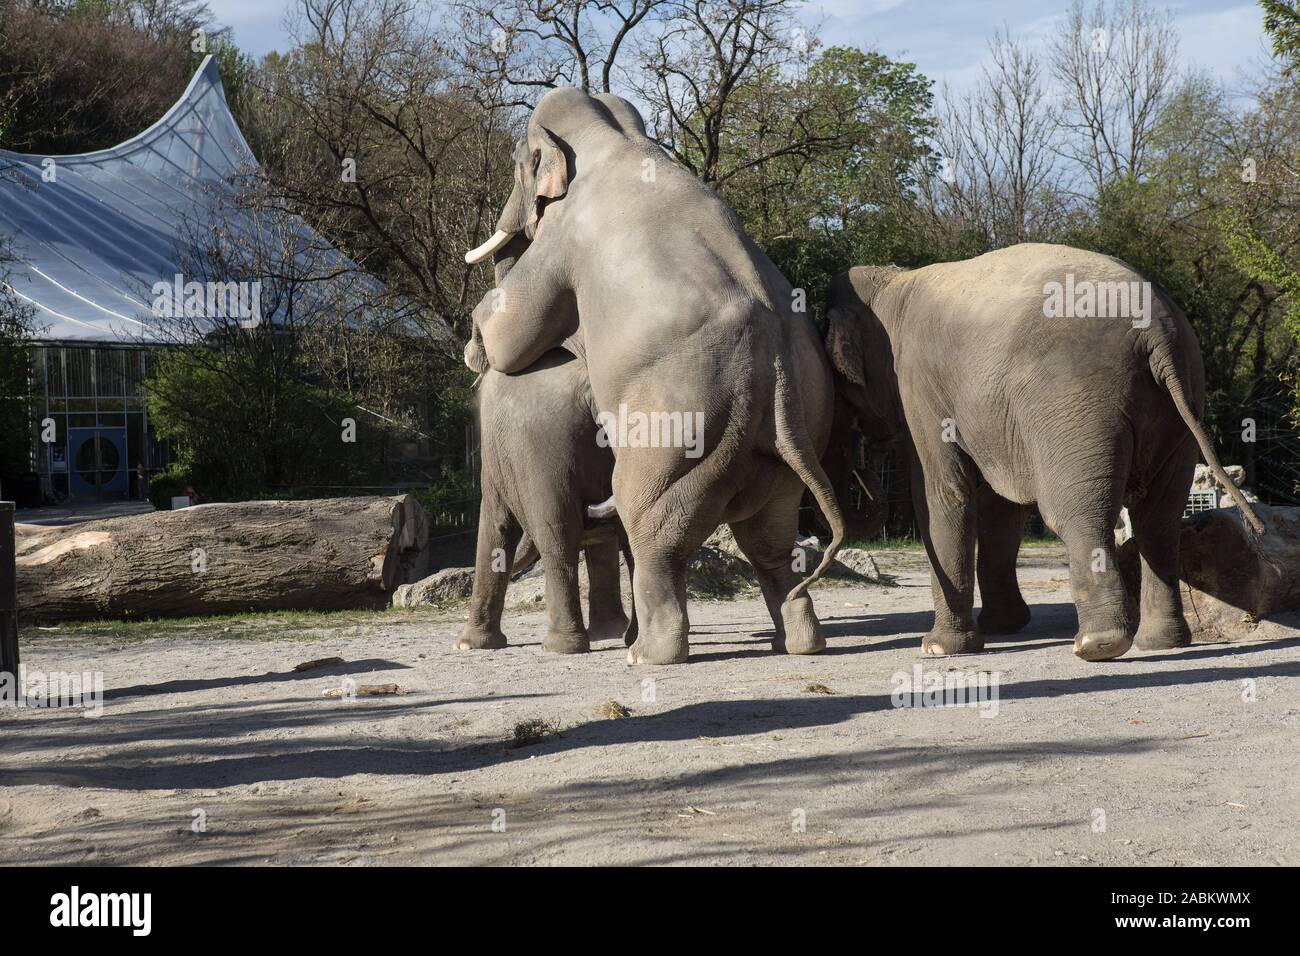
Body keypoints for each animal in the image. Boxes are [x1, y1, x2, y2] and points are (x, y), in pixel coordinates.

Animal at [457, 234, 634, 654]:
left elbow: (494, 524)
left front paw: (467, 645)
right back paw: (616, 638)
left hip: (543, 448)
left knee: (555, 532)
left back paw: (563, 646)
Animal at [823, 243, 1264, 662]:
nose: (862, 449)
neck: (892, 282)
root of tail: (1157, 329)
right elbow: (1000, 506)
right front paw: (1002, 628)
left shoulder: (921, 387)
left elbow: (943, 495)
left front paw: (939, 648)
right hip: (1183, 397)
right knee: (1159, 518)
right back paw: (1161, 643)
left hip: (1075, 404)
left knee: (1076, 511)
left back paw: (1098, 644)